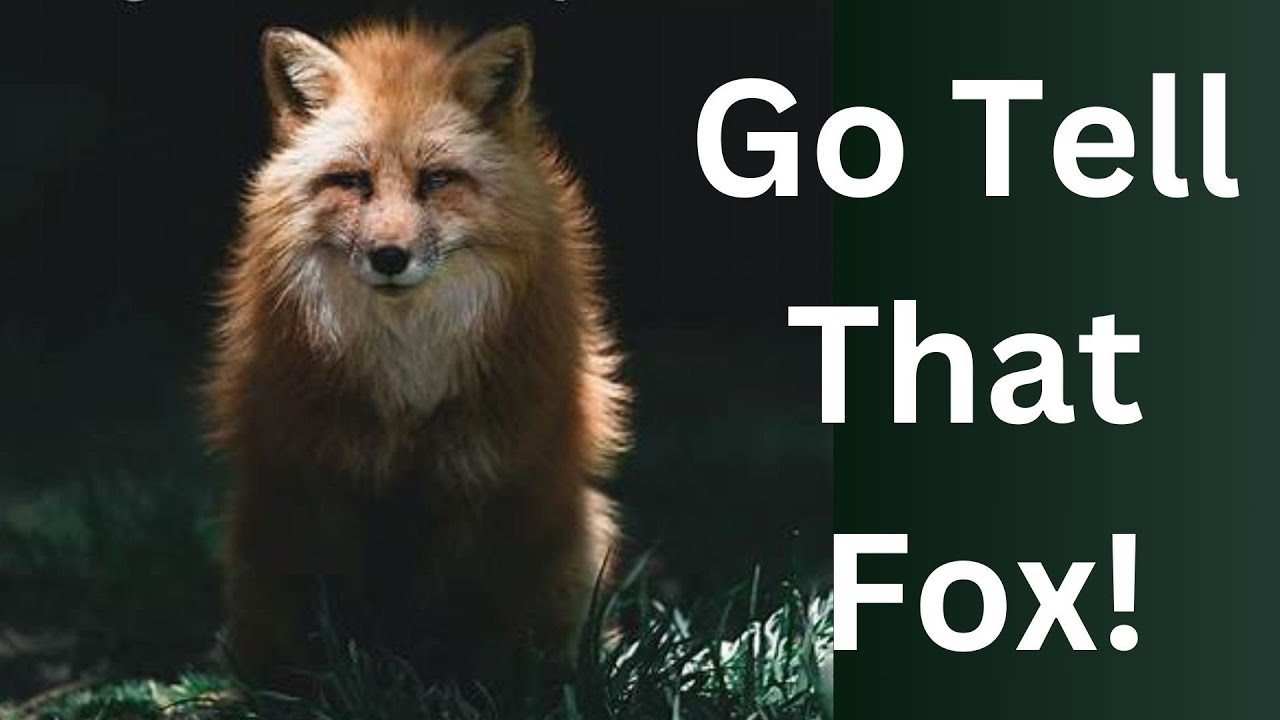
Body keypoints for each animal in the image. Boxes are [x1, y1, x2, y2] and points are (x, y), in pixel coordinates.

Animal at [203, 20, 628, 693]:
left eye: (436, 180)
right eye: (353, 181)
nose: (389, 257)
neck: (408, 376)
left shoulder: (486, 477)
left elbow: (472, 613)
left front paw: (473, 690)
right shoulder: (325, 475)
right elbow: (339, 614)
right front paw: (339, 687)